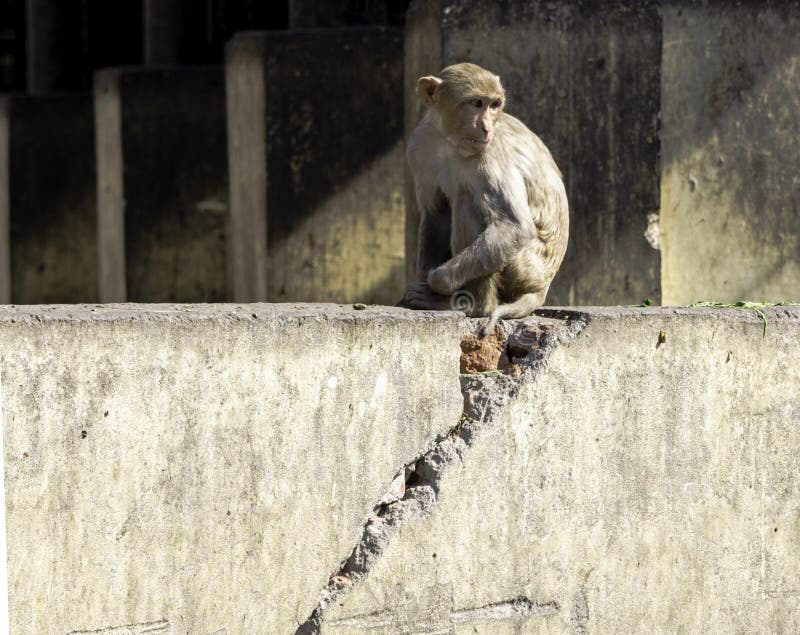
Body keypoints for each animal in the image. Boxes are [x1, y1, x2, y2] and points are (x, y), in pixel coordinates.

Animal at [399, 62, 569, 333]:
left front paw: (436, 282)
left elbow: (514, 226)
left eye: (494, 104)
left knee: (467, 203)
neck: (450, 142)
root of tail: (544, 286)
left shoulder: (490, 154)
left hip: (524, 267)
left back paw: (473, 305)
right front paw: (425, 277)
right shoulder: (419, 147)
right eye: (477, 103)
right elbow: (436, 213)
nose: (486, 127)